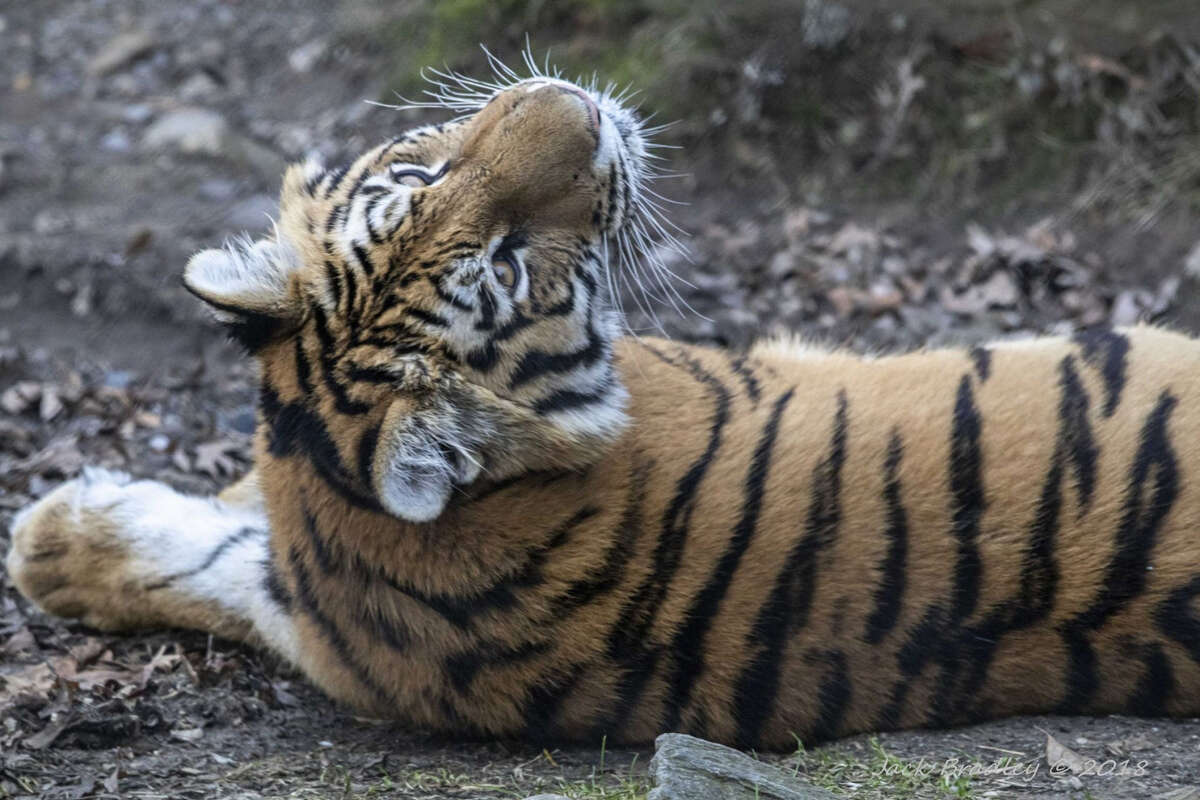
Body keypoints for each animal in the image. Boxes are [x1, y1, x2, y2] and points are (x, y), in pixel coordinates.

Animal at [7, 61, 1200, 752]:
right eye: (505, 259)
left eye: (420, 178)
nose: (574, 109)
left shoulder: (320, 601)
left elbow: (213, 554)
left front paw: (47, 541)